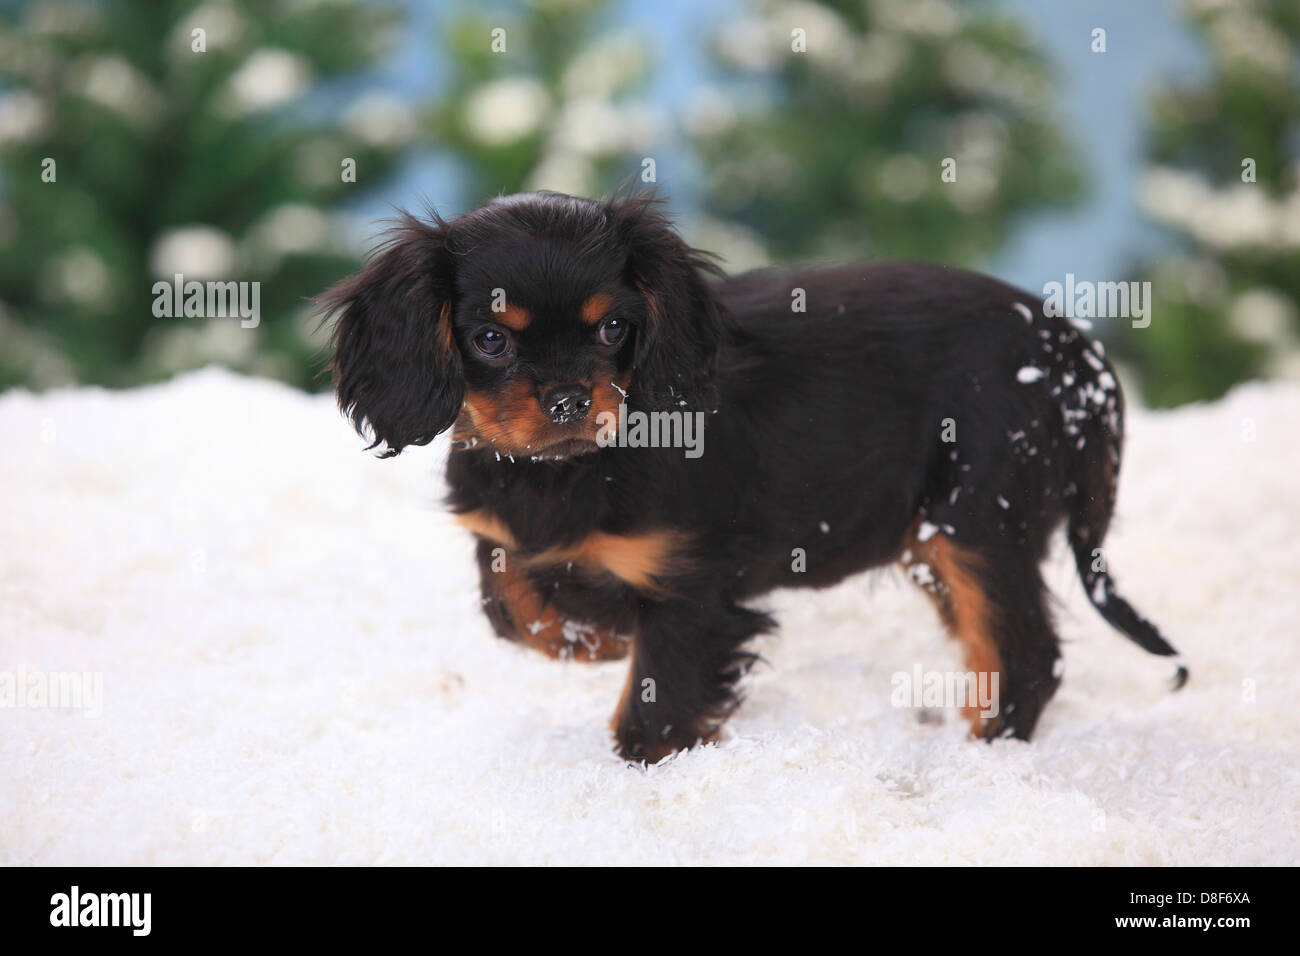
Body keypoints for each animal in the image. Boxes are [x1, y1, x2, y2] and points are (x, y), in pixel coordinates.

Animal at [319, 191, 1185, 762]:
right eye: (492, 339)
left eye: (613, 328)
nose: (568, 398)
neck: (562, 471)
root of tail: (1082, 357)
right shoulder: (500, 536)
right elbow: (516, 608)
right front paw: (594, 636)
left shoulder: (693, 589)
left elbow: (656, 704)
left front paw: (638, 768)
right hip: (933, 541)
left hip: (976, 523)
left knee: (1025, 656)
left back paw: (982, 758)